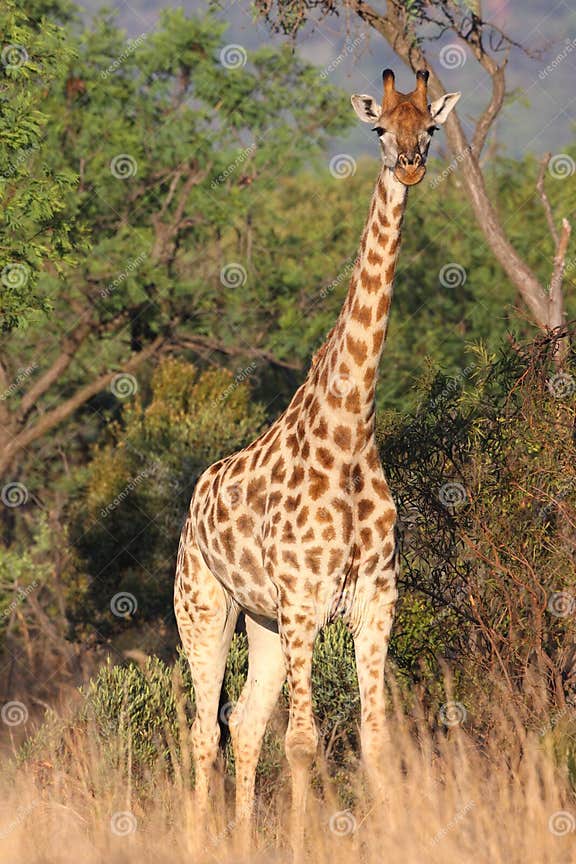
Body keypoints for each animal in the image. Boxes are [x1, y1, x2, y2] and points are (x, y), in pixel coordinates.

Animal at [174, 68, 460, 853]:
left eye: (430, 126)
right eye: (379, 129)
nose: (410, 165)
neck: (351, 426)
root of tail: (192, 502)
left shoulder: (375, 597)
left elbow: (376, 739)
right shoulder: (305, 599)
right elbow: (303, 742)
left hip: (264, 622)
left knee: (242, 723)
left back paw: (242, 842)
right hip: (203, 606)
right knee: (202, 731)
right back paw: (201, 841)